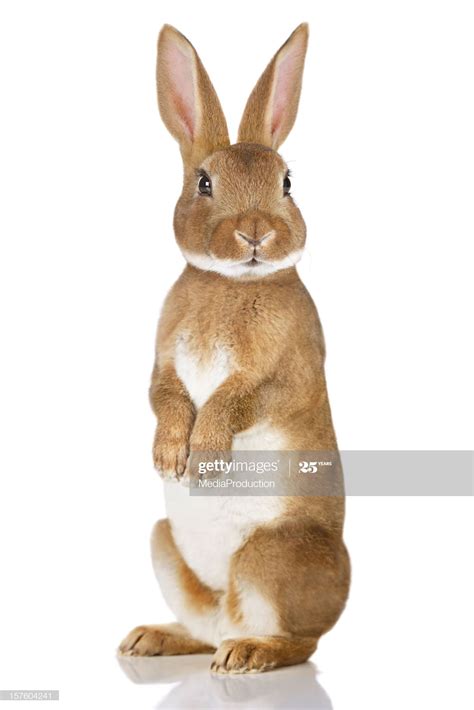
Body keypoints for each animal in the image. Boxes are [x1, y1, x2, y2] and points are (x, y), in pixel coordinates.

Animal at [119, 23, 350, 674]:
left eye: (287, 183)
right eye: (204, 182)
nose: (255, 233)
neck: (231, 282)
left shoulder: (284, 371)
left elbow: (237, 400)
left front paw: (204, 459)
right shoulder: (163, 362)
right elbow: (164, 396)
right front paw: (169, 457)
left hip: (270, 556)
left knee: (299, 642)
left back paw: (248, 654)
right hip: (164, 544)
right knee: (205, 628)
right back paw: (151, 639)